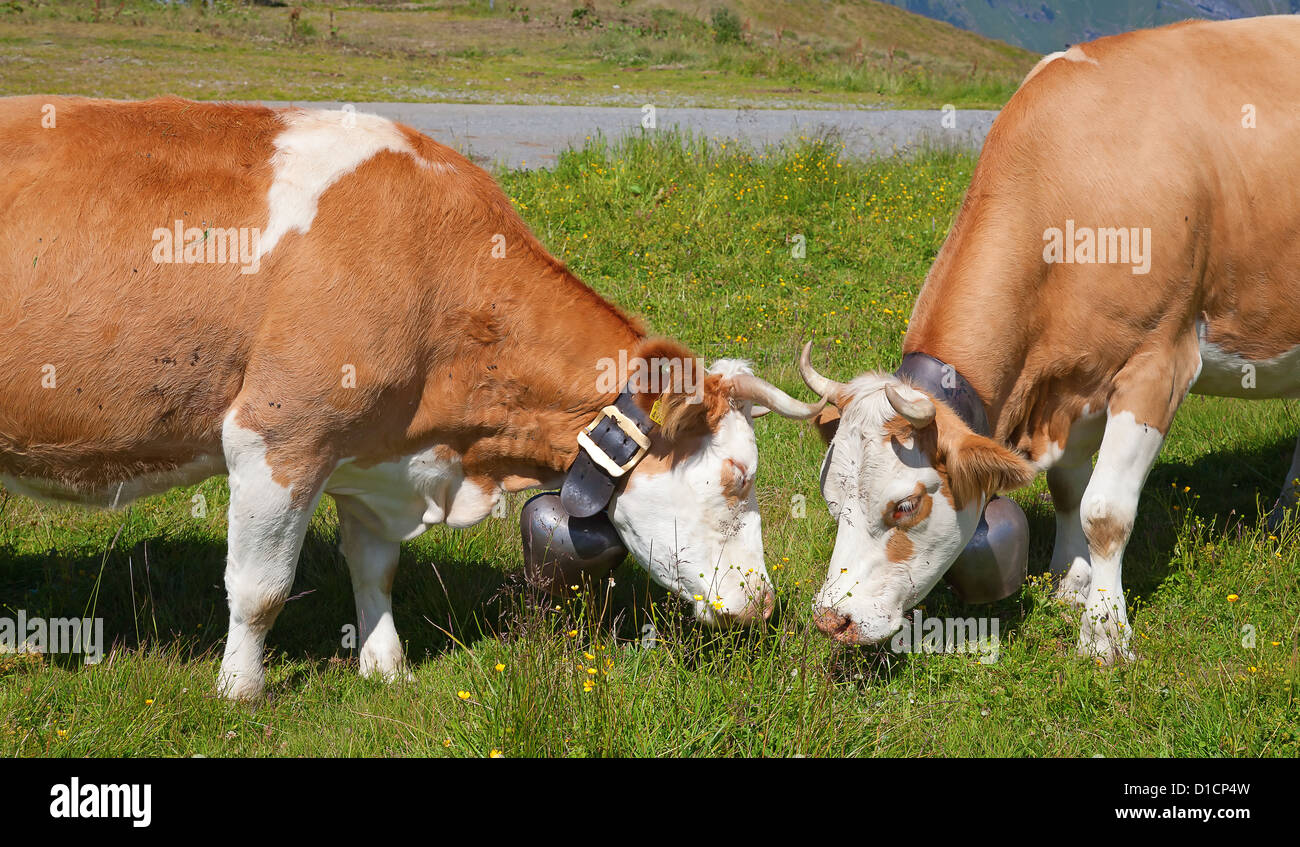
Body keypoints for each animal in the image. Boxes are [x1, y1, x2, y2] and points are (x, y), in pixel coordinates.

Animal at [0, 96, 825, 699]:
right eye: (739, 478)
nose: (763, 602)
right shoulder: (278, 434)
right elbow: (260, 588)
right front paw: (239, 689)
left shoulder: (371, 451)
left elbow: (375, 566)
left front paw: (384, 665)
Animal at [796, 17, 1300, 661]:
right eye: (832, 501)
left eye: (905, 505)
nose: (831, 619)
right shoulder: (1077, 375)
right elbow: (1067, 488)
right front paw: (1070, 584)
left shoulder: (1157, 362)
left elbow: (1105, 510)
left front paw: (1105, 634)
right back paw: (1284, 516)